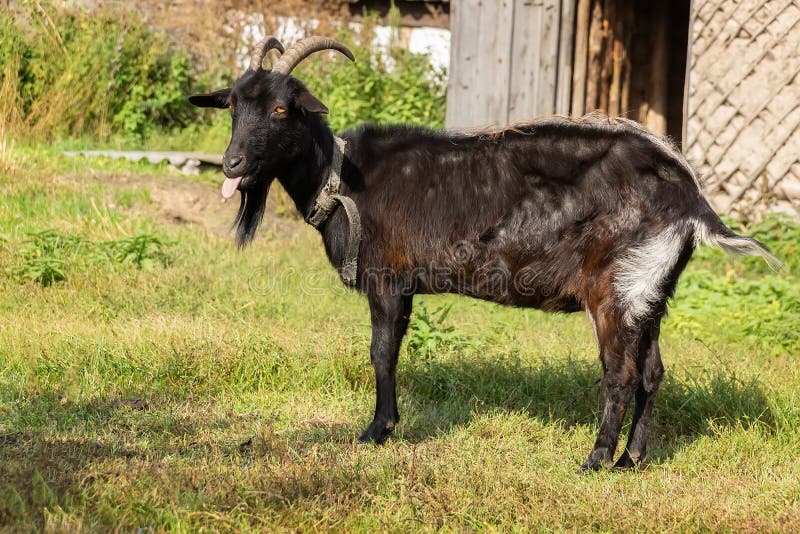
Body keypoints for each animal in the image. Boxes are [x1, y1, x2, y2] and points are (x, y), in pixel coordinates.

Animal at [188, 35, 780, 470]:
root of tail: (692, 200)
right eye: (233, 108)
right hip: (651, 292)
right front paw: (385, 427)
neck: (339, 177)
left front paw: (375, 431)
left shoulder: (387, 278)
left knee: (621, 374)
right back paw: (632, 460)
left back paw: (594, 460)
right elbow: (392, 351)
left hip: (615, 291)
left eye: (281, 108)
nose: (232, 164)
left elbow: (381, 353)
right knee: (653, 372)